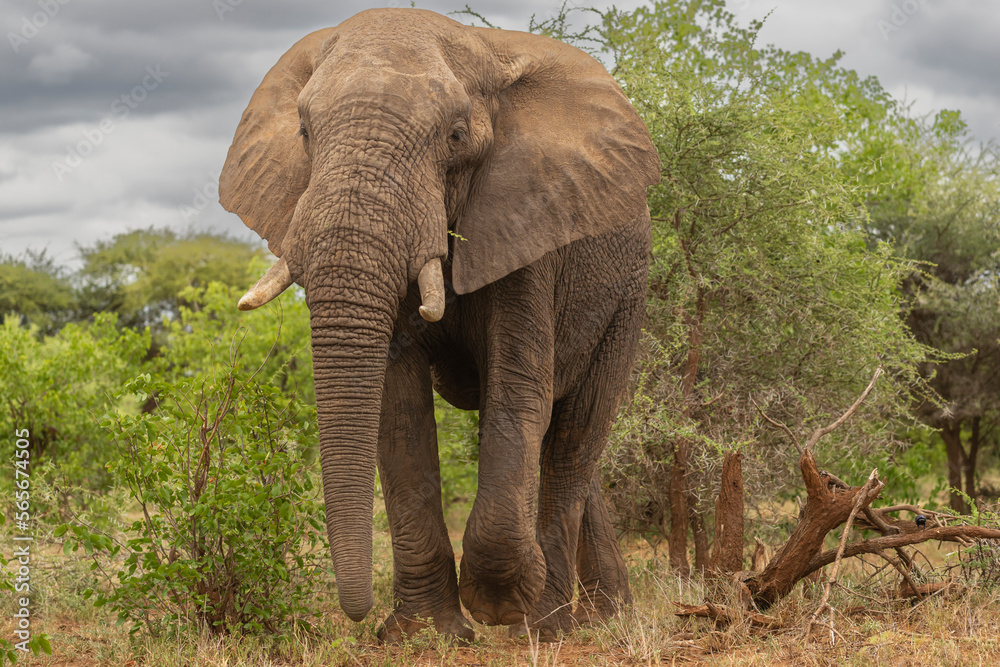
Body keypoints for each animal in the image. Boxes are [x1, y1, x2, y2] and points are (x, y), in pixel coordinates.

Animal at [219, 8, 659, 643]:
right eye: (303, 131)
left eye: (455, 135)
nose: (357, 613)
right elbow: (398, 411)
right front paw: (422, 634)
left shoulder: (526, 224)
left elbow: (517, 392)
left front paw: (503, 603)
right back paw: (603, 616)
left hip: (629, 293)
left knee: (574, 434)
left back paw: (551, 625)